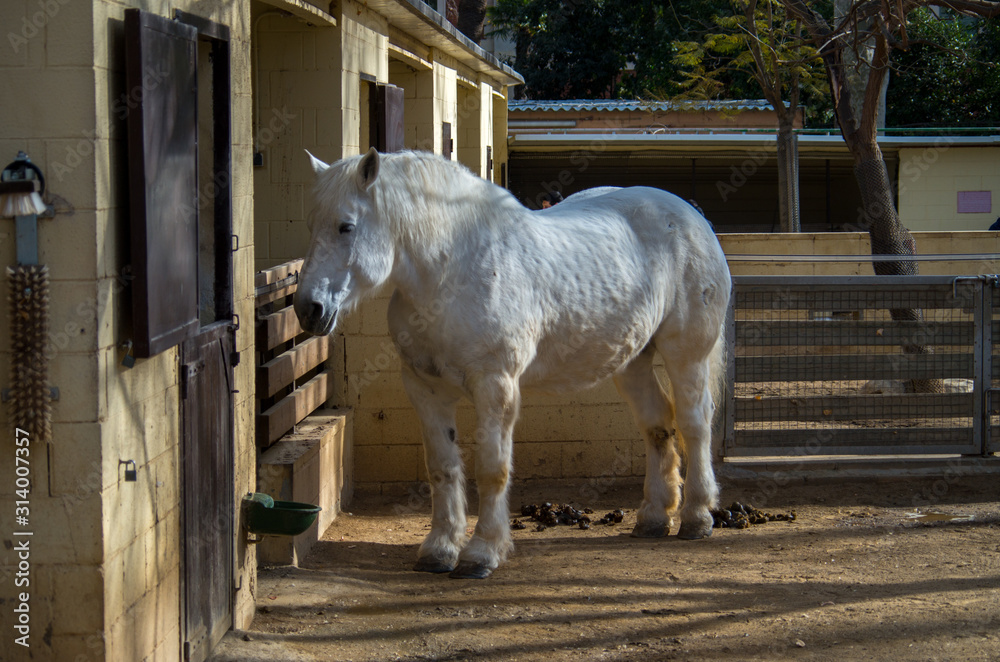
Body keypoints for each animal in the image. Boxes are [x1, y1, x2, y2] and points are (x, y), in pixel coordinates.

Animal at [295, 148, 732, 579]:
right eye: (311, 224)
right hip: (633, 361)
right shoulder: (425, 387)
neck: (451, 272)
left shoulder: (495, 384)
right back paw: (654, 518)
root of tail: (690, 216)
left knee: (694, 423)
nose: (307, 309)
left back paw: (697, 517)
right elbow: (442, 467)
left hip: (686, 354)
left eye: (346, 226)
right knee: (657, 424)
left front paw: (482, 553)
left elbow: (492, 469)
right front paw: (439, 550)